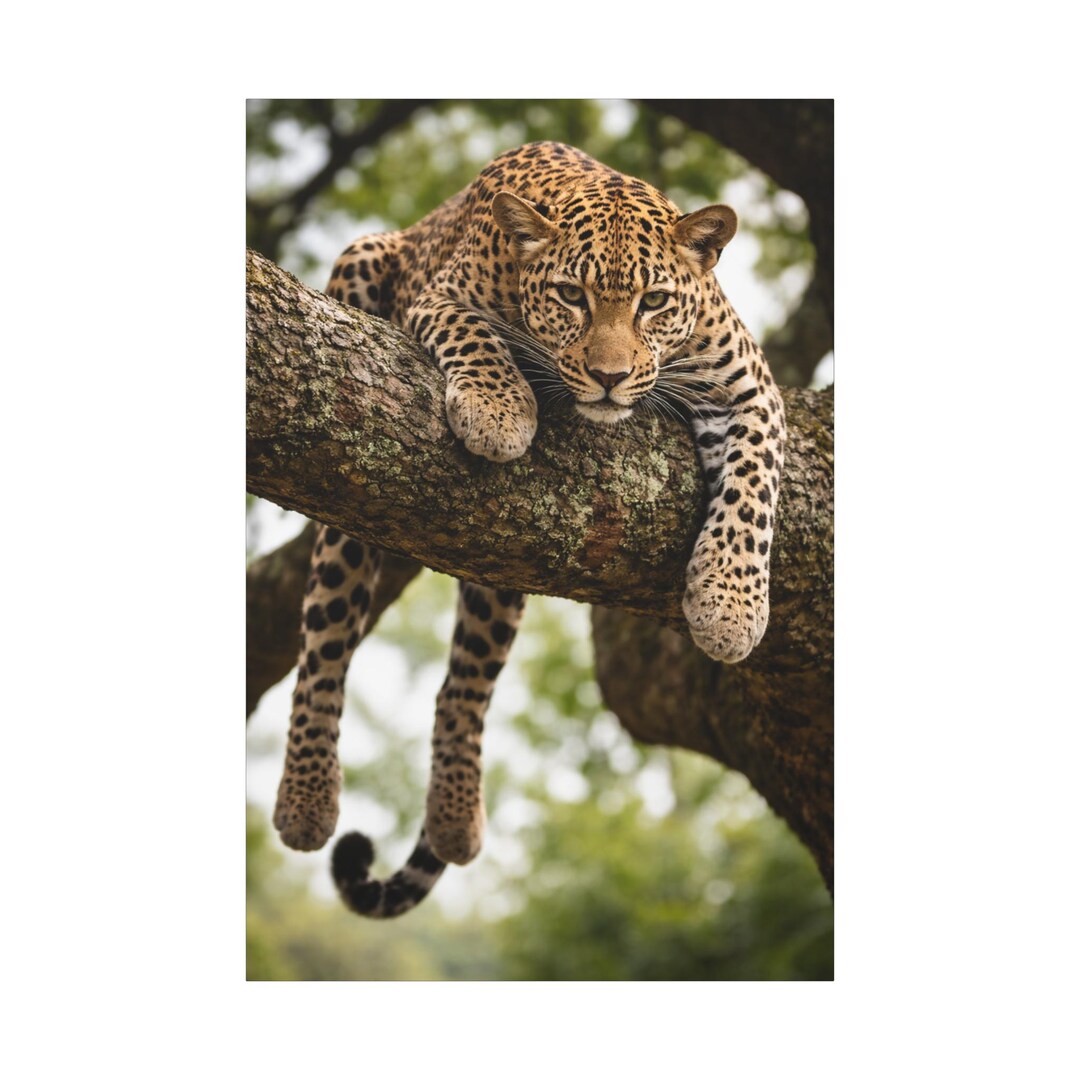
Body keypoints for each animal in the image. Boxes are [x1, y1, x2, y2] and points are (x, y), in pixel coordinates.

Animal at [271, 141, 786, 918]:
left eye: (655, 303)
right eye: (571, 296)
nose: (610, 377)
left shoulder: (750, 387)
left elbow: (754, 489)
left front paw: (729, 608)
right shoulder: (441, 299)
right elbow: (479, 335)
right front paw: (499, 408)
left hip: (505, 559)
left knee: (463, 686)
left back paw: (454, 821)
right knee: (325, 646)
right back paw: (306, 800)